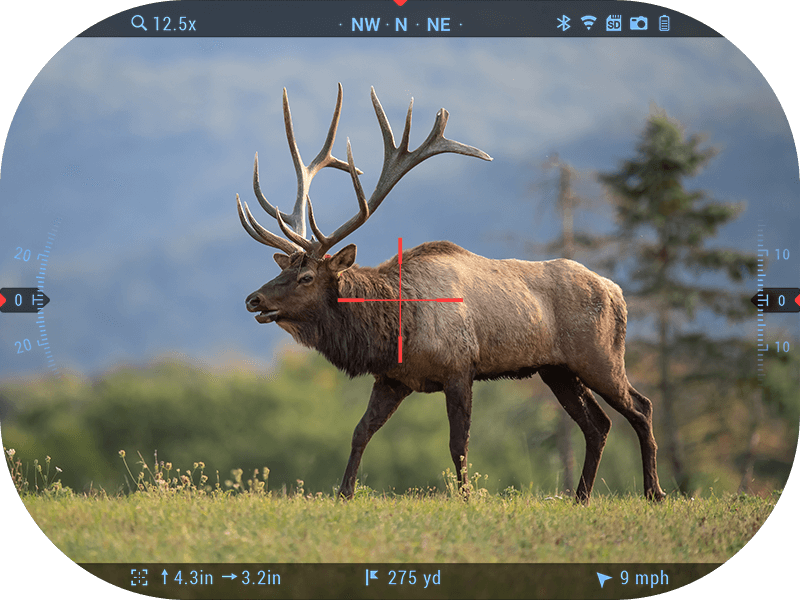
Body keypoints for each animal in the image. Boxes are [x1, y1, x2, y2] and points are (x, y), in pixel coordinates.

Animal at [236, 83, 666, 504]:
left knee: (640, 407)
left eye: (306, 277)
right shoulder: (393, 378)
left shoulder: (460, 368)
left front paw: (466, 497)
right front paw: (344, 493)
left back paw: (654, 491)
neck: (394, 328)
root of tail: (617, 292)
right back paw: (581, 496)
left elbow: (458, 443)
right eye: (283, 270)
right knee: (599, 424)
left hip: (600, 357)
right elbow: (360, 432)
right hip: (557, 369)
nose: (252, 299)